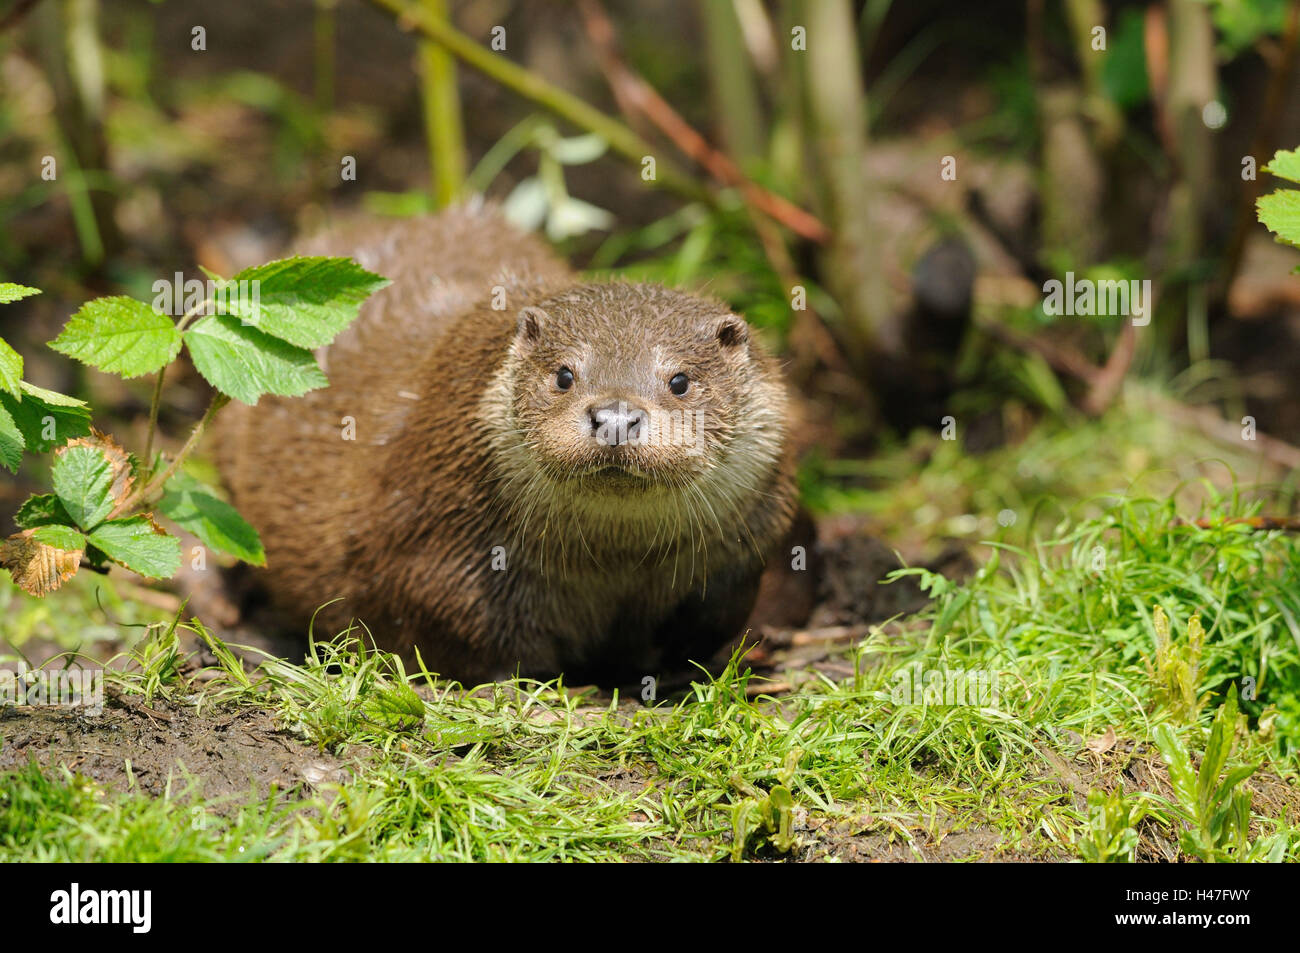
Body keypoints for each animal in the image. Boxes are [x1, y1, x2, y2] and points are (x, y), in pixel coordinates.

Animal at [216, 206, 797, 683]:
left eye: (679, 381)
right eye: (564, 374)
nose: (615, 416)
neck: (613, 567)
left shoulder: (736, 556)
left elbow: (702, 625)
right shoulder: (435, 546)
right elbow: (473, 638)